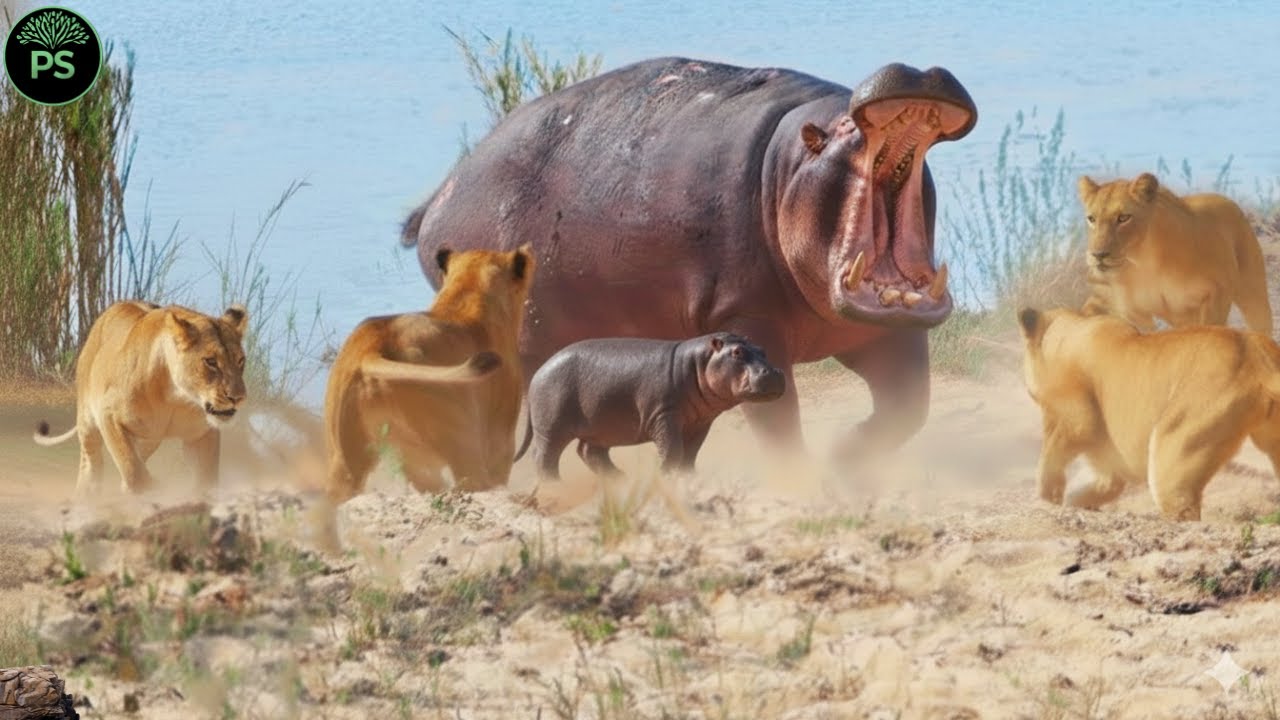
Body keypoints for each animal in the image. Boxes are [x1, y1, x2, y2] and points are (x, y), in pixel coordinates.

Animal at [34, 300, 249, 497]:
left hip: (149, 438)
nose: (238, 397)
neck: (175, 398)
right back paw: (88, 493)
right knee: (91, 460)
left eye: (240, 360)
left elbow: (207, 478)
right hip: (88, 420)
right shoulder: (108, 416)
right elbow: (132, 468)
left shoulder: (202, 433)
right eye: (211, 362)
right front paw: (154, 491)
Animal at [1017, 306, 1280, 521]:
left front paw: (1047, 496)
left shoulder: (1079, 415)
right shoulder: (1105, 452)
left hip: (1179, 437)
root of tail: (1259, 355)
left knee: (1178, 499)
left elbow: (1055, 453)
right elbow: (1101, 482)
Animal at [1077, 172, 1272, 334]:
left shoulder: (1217, 294)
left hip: (1253, 295)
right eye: (1091, 219)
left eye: (1123, 218)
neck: (1147, 262)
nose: (1098, 255)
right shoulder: (1132, 309)